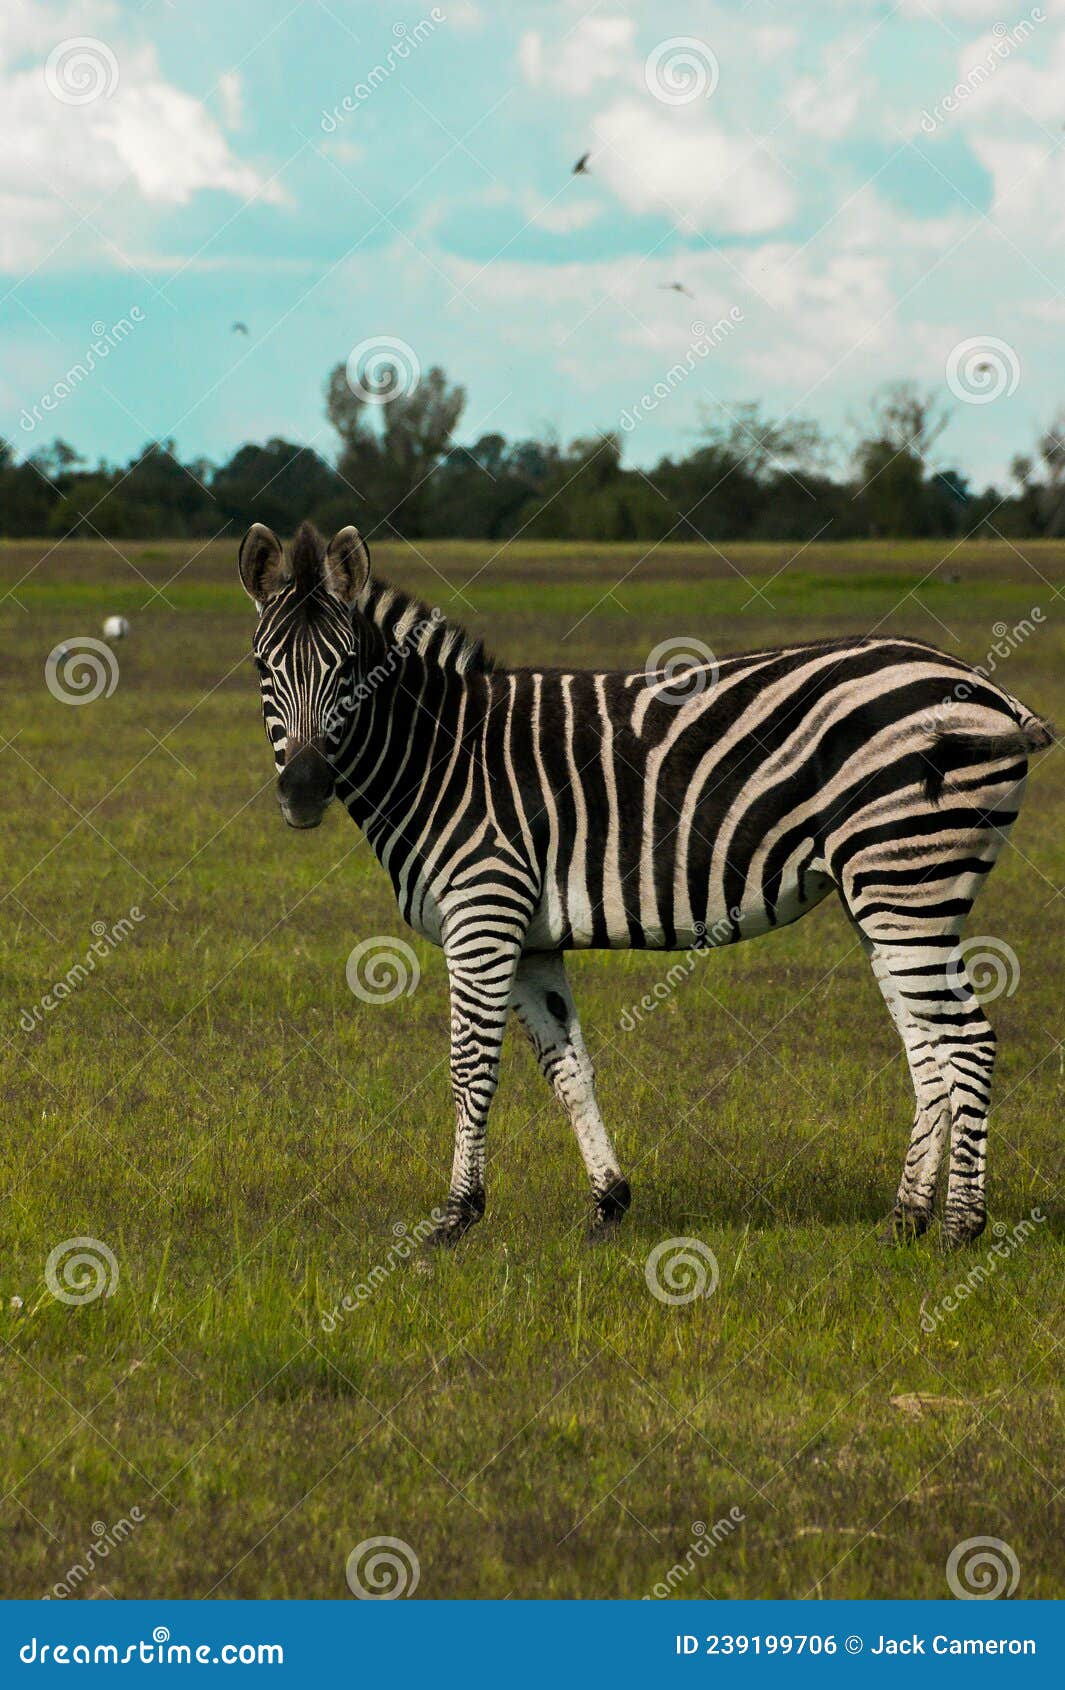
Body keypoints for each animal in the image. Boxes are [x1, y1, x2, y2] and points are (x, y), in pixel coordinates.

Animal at [239, 520, 1052, 1249]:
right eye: (261, 670)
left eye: (349, 670)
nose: (303, 792)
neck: (438, 756)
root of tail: (990, 691)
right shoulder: (530, 939)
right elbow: (567, 1067)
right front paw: (608, 1203)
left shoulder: (484, 910)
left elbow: (469, 1066)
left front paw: (454, 1216)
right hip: (886, 894)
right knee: (928, 1051)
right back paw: (904, 1220)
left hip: (907, 879)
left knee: (968, 1043)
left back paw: (959, 1230)